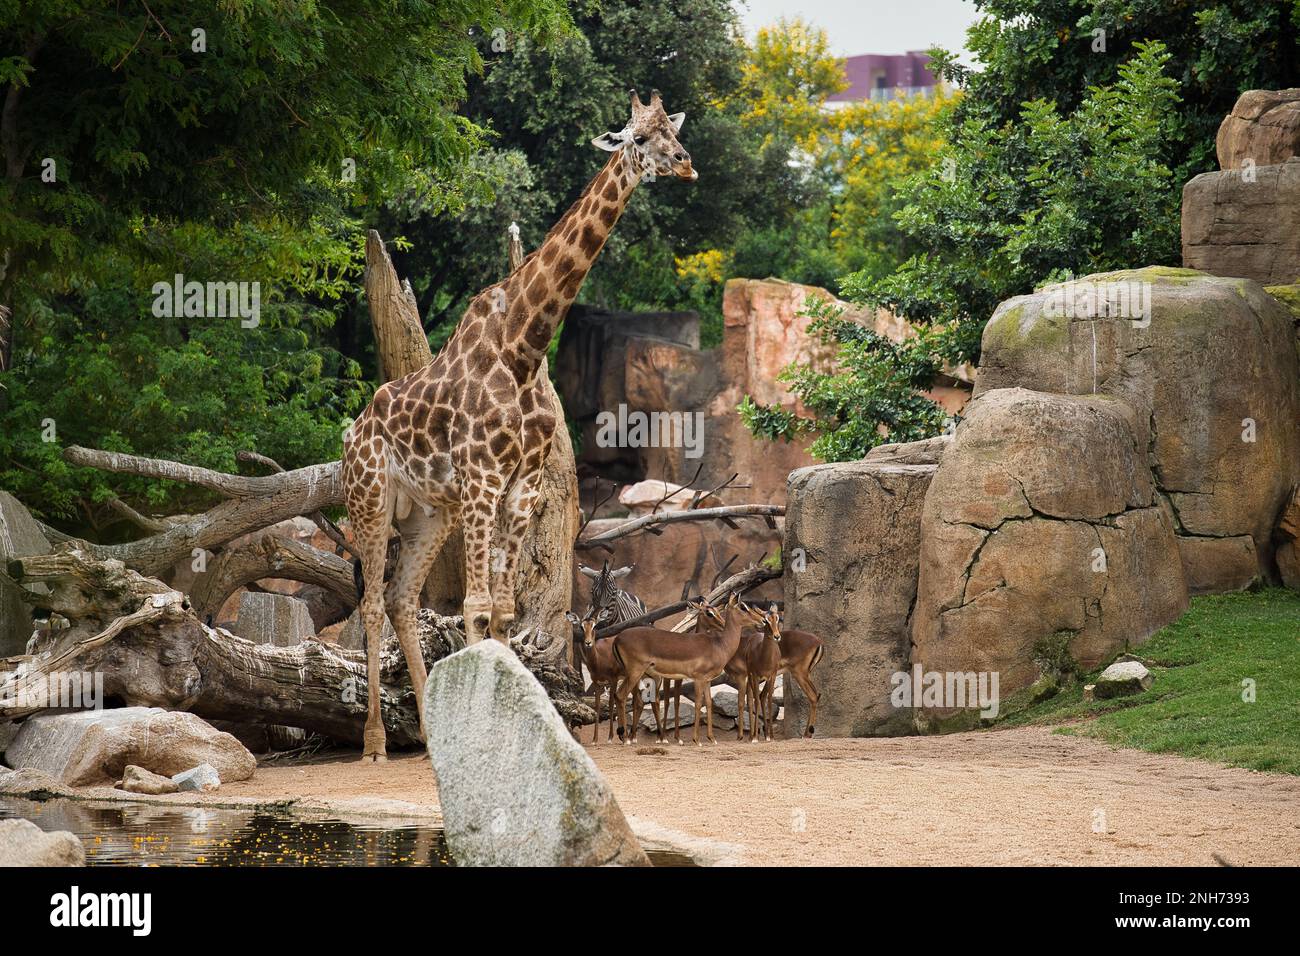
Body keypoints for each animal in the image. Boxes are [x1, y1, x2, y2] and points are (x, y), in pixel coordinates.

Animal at [342, 89, 697, 761]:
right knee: (372, 604)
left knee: (401, 600)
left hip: (429, 514)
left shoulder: (520, 487)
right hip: (370, 500)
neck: (523, 345)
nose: (686, 165)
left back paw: (428, 726)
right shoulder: (482, 478)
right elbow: (478, 606)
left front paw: (506, 732)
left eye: (672, 130)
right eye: (638, 138)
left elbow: (504, 610)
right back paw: (374, 740)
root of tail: (351, 435)